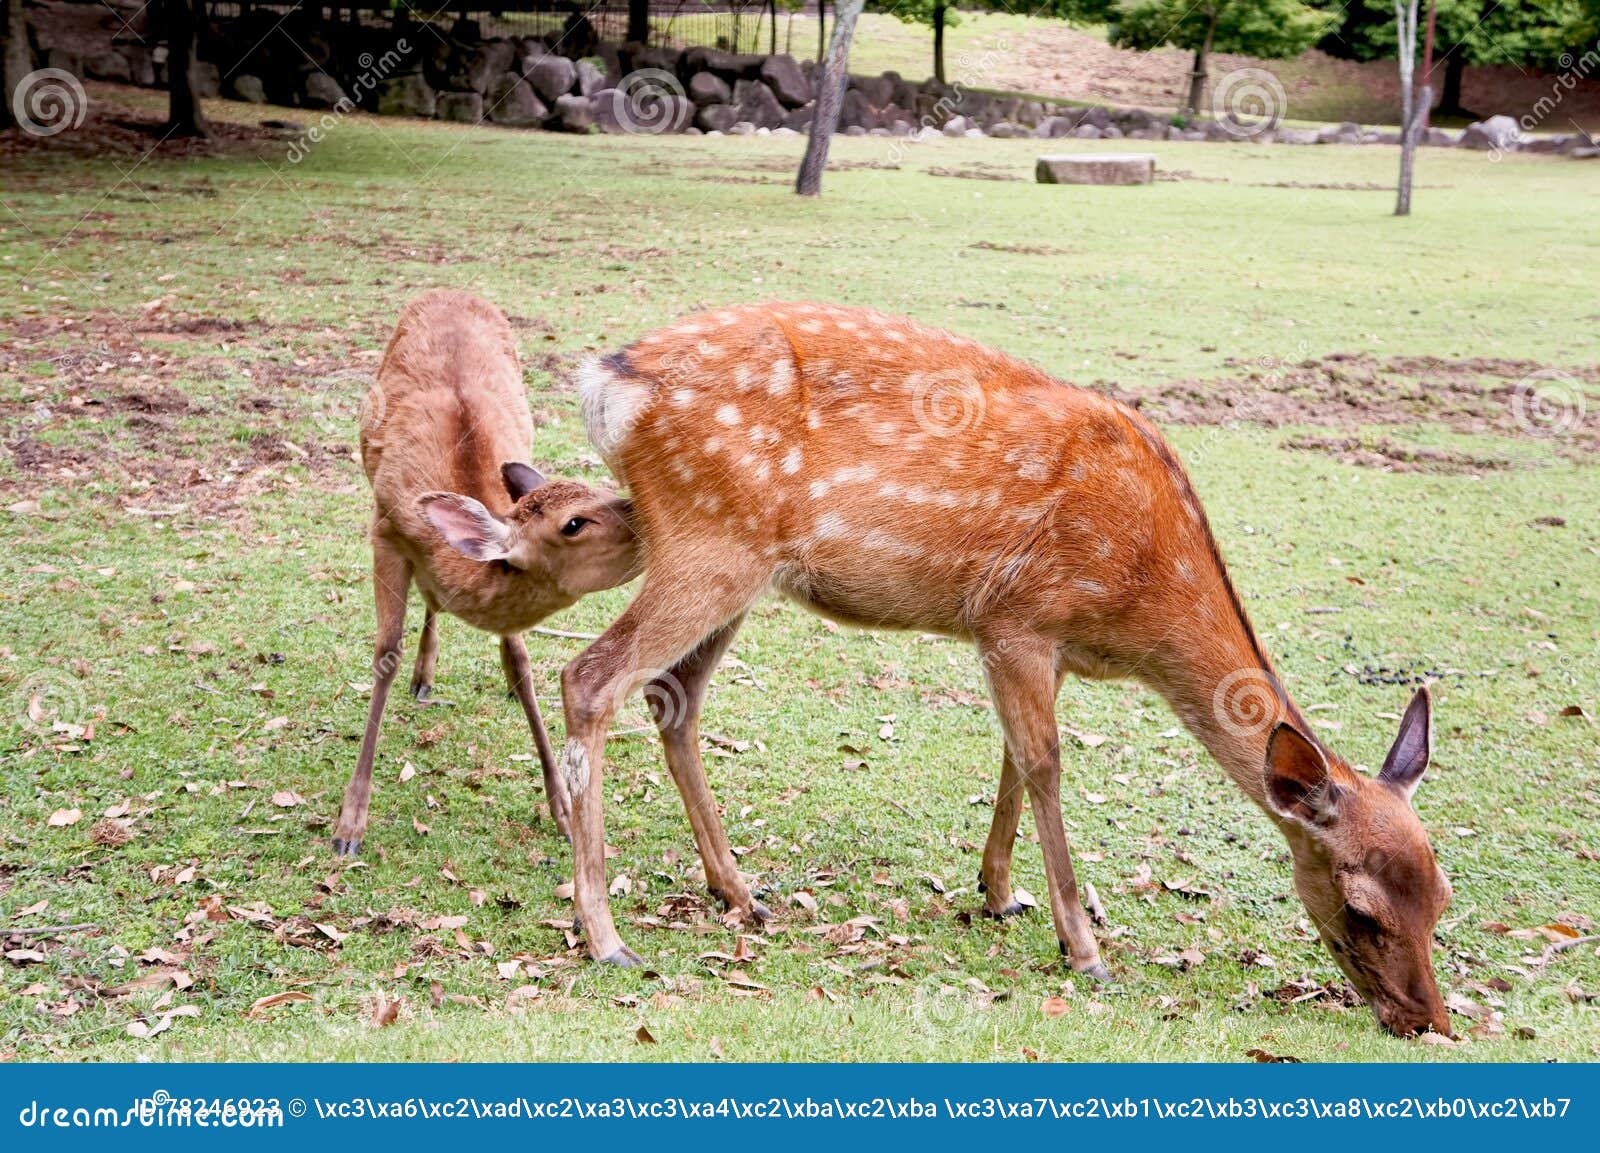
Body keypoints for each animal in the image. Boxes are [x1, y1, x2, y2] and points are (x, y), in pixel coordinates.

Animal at [330, 289, 641, 856]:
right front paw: (349, 824)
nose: (644, 513)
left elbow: (519, 662)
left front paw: (563, 813)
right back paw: (422, 676)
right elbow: (385, 653)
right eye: (574, 523)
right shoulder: (383, 529)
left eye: (595, 487)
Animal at [558, 302, 1453, 1037]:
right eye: (1361, 906)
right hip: (710, 541)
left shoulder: (1037, 642)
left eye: (1442, 895)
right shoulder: (1018, 617)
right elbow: (1045, 762)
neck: (1140, 600)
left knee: (674, 694)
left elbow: (1012, 761)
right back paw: (606, 935)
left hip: (742, 563)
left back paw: (739, 891)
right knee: (591, 676)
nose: (1427, 1019)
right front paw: (1083, 945)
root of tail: (608, 380)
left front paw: (997, 893)